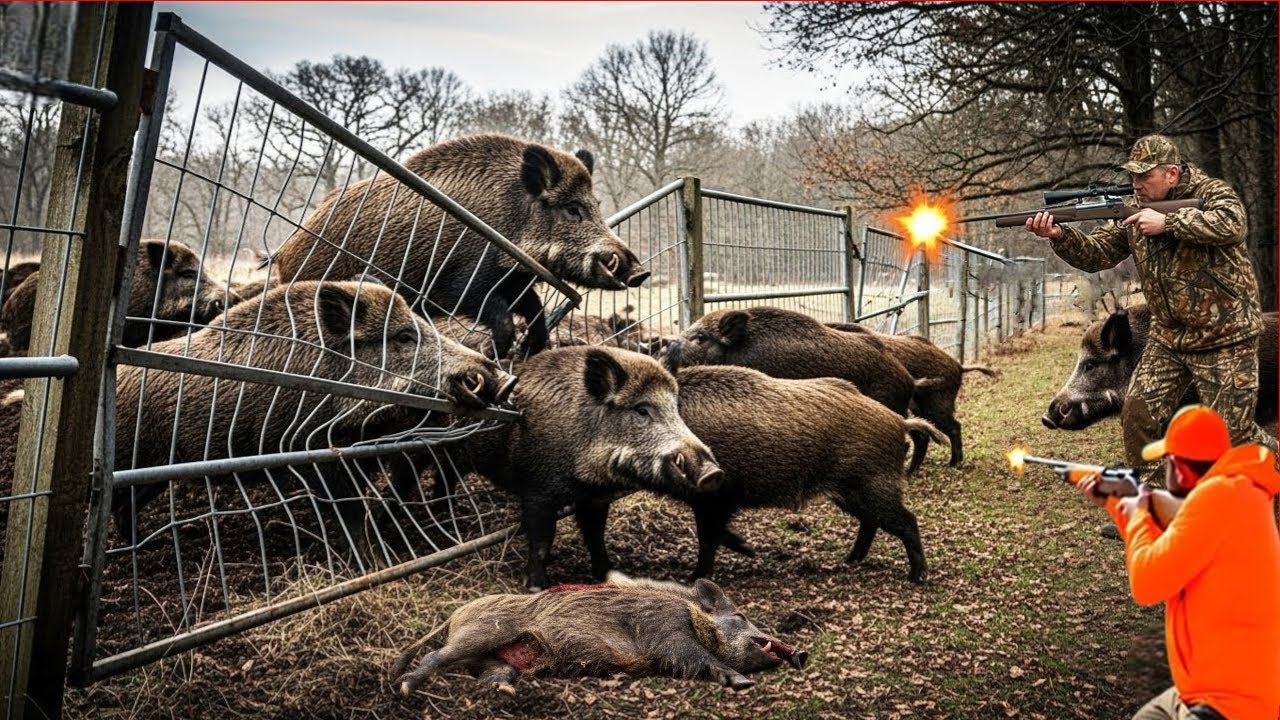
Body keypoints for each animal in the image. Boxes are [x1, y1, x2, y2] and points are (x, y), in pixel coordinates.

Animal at [107, 280, 516, 549]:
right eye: (403, 337)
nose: (505, 379)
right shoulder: (320, 453)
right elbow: (349, 513)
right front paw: (369, 562)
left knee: (126, 505)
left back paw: (143, 543)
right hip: (133, 457)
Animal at [269, 134, 649, 358]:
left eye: (596, 204)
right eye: (572, 209)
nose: (640, 272)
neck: (510, 221)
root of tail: (286, 250)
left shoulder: (513, 281)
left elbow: (535, 308)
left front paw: (530, 348)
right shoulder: (459, 285)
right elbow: (501, 317)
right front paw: (497, 352)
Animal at [392, 573, 805, 696]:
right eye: (740, 615)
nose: (801, 653)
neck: (689, 613)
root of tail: (454, 614)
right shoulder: (667, 633)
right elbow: (698, 656)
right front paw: (743, 683)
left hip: (498, 659)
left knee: (492, 677)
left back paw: (506, 693)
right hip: (478, 635)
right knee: (434, 656)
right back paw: (405, 687)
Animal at [422, 346, 721, 590]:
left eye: (675, 408)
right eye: (642, 410)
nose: (714, 474)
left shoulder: (595, 499)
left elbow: (596, 536)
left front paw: (606, 573)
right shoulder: (537, 492)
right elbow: (542, 540)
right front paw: (537, 587)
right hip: (443, 451)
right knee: (436, 475)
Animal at [668, 365, 936, 583]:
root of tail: (899, 421)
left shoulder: (715, 497)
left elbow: (707, 538)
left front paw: (692, 578)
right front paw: (748, 550)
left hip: (871, 486)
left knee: (906, 520)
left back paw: (915, 577)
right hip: (851, 494)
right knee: (870, 523)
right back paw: (848, 560)